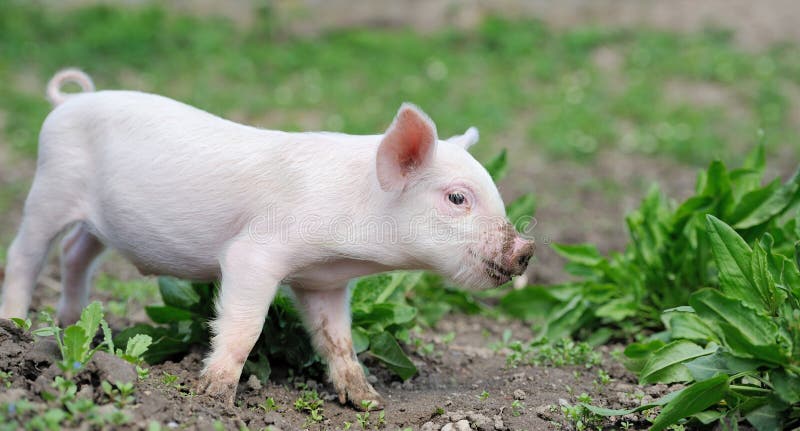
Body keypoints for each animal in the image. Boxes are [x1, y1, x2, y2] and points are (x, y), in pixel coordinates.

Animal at [0, 69, 534, 409]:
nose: (527, 249)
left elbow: (338, 341)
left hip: (100, 223)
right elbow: (244, 325)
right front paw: (214, 397)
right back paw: (18, 325)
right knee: (25, 253)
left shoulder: (324, 283)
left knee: (75, 254)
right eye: (457, 198)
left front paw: (368, 402)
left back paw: (74, 324)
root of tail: (68, 102)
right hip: (50, 187)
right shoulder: (253, 254)